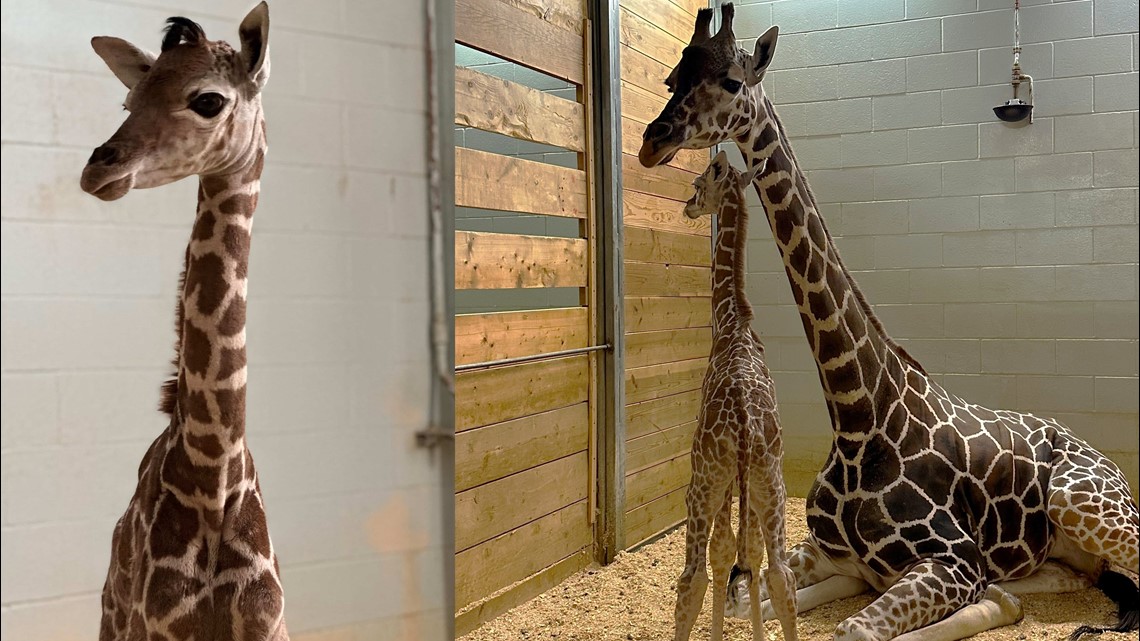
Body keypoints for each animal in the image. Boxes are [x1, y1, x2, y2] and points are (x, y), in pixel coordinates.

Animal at [79, 4, 288, 640]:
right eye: (130, 101)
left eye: (208, 100)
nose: (97, 170)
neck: (212, 480)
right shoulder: (156, 626)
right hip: (111, 618)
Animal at [673, 149, 798, 641]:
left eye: (698, 182)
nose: (688, 207)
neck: (732, 318)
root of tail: (744, 429)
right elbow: (747, 555)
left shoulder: (718, 479)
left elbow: (722, 552)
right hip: (770, 481)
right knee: (779, 572)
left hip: (704, 480)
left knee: (692, 577)